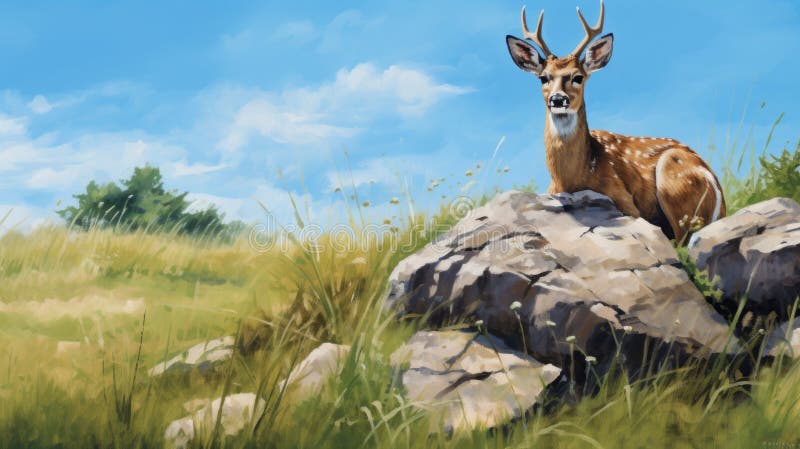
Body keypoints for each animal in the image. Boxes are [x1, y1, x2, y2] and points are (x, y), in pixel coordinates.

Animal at [505, 1, 725, 243]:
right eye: (543, 77)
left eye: (578, 77)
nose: (558, 99)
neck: (571, 177)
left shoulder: (625, 201)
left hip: (674, 182)